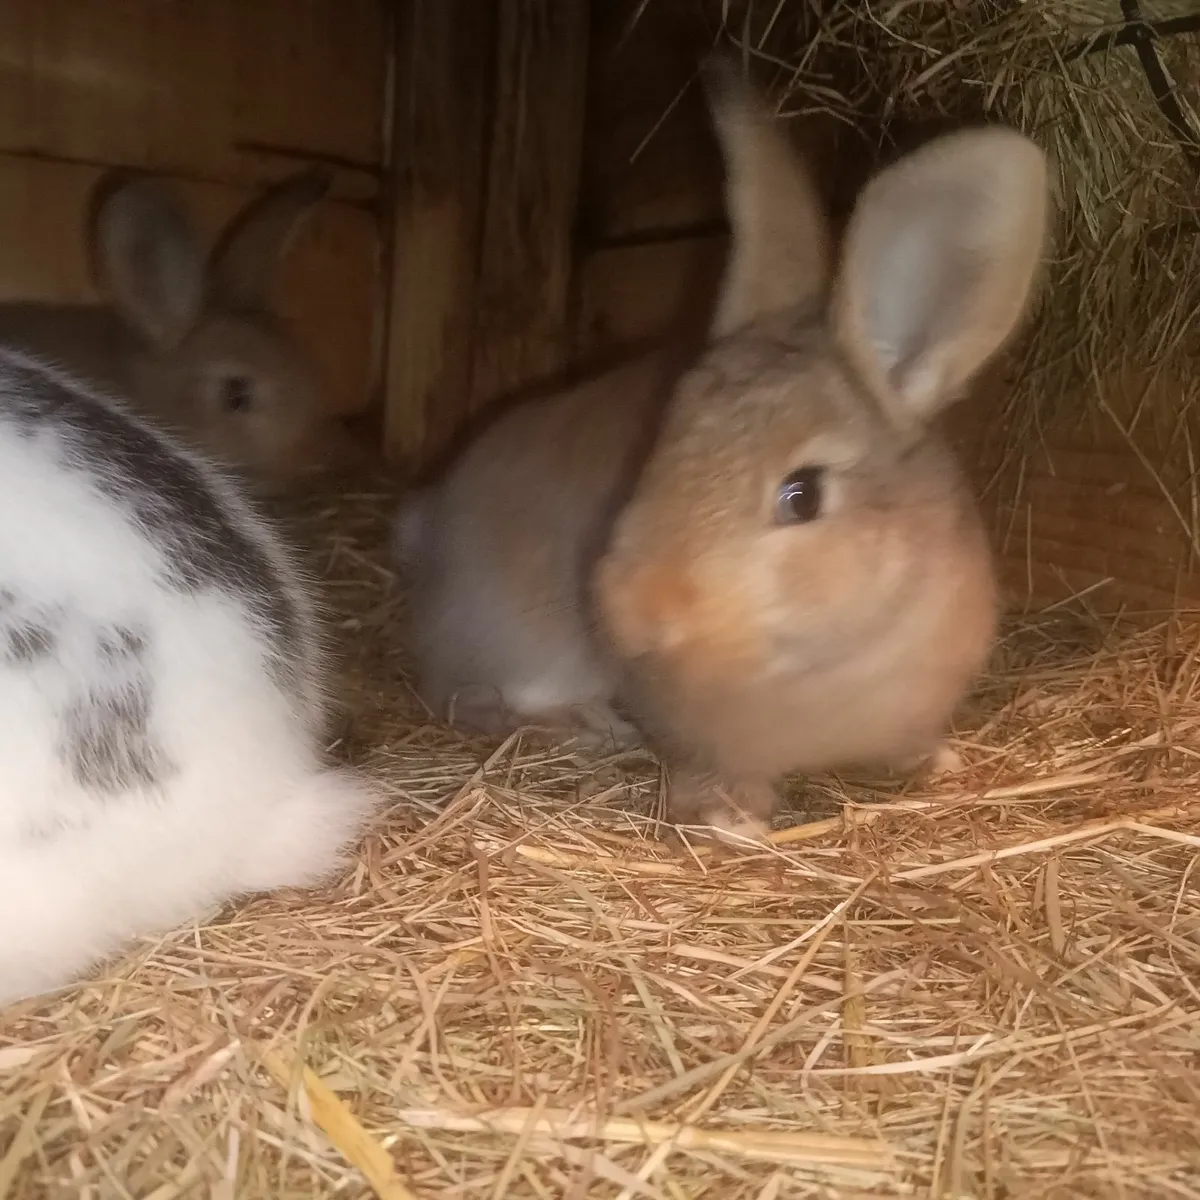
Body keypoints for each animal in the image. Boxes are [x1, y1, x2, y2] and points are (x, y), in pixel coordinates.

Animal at [395, 57, 1049, 841]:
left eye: (803, 495)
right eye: (661, 442)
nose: (636, 610)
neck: (830, 655)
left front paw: (940, 763)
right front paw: (730, 817)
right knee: (479, 696)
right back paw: (589, 723)